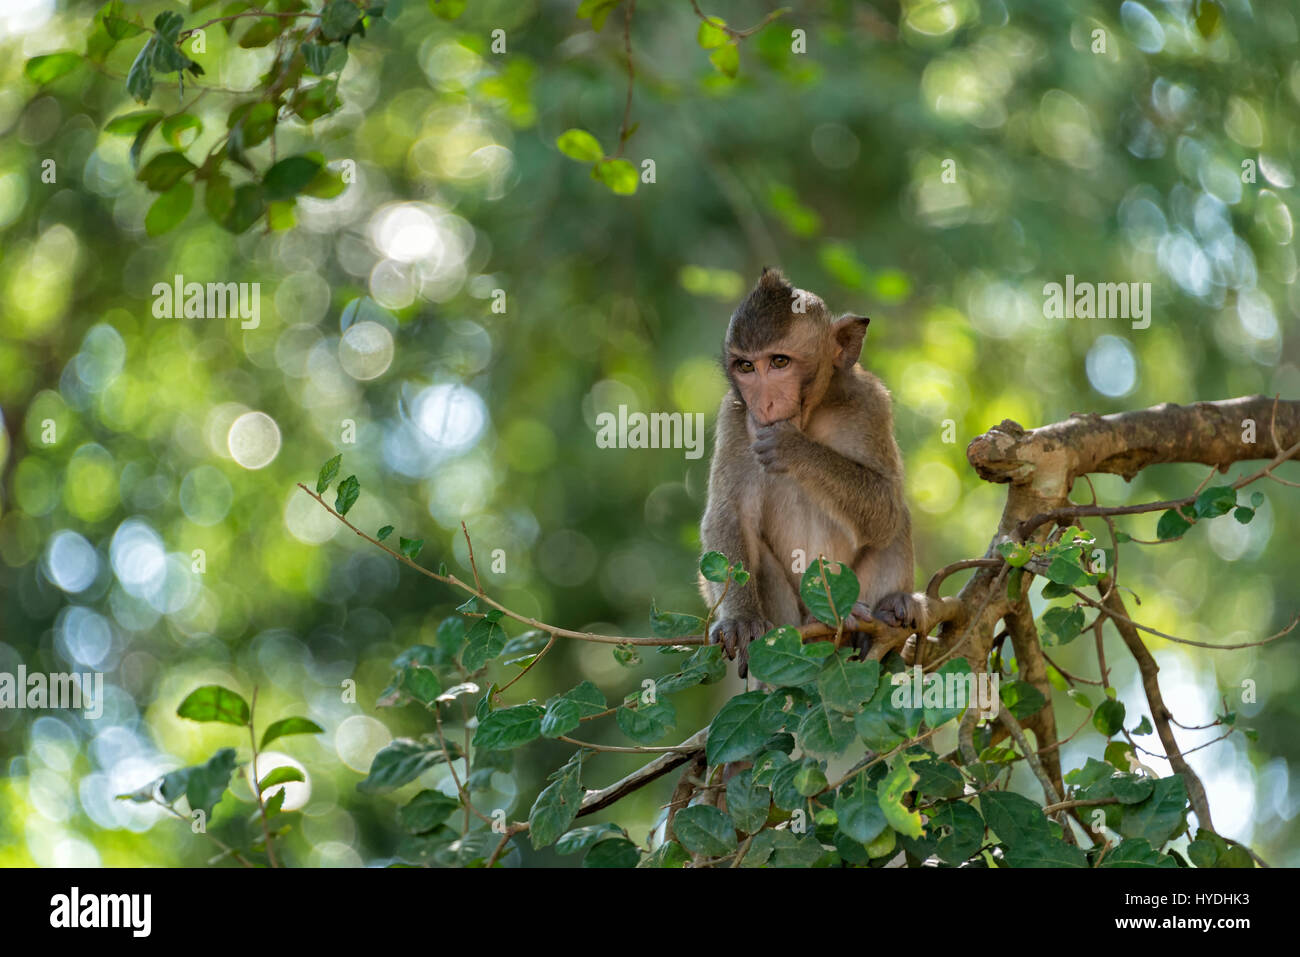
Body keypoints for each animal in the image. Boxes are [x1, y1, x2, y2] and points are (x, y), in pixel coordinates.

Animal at [698, 267, 924, 677]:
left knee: (897, 518)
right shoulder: (735, 418)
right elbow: (729, 515)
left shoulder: (869, 402)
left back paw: (886, 611)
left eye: (780, 362)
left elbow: (886, 506)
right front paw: (740, 619)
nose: (764, 403)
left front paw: (795, 450)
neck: (812, 414)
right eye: (746, 366)